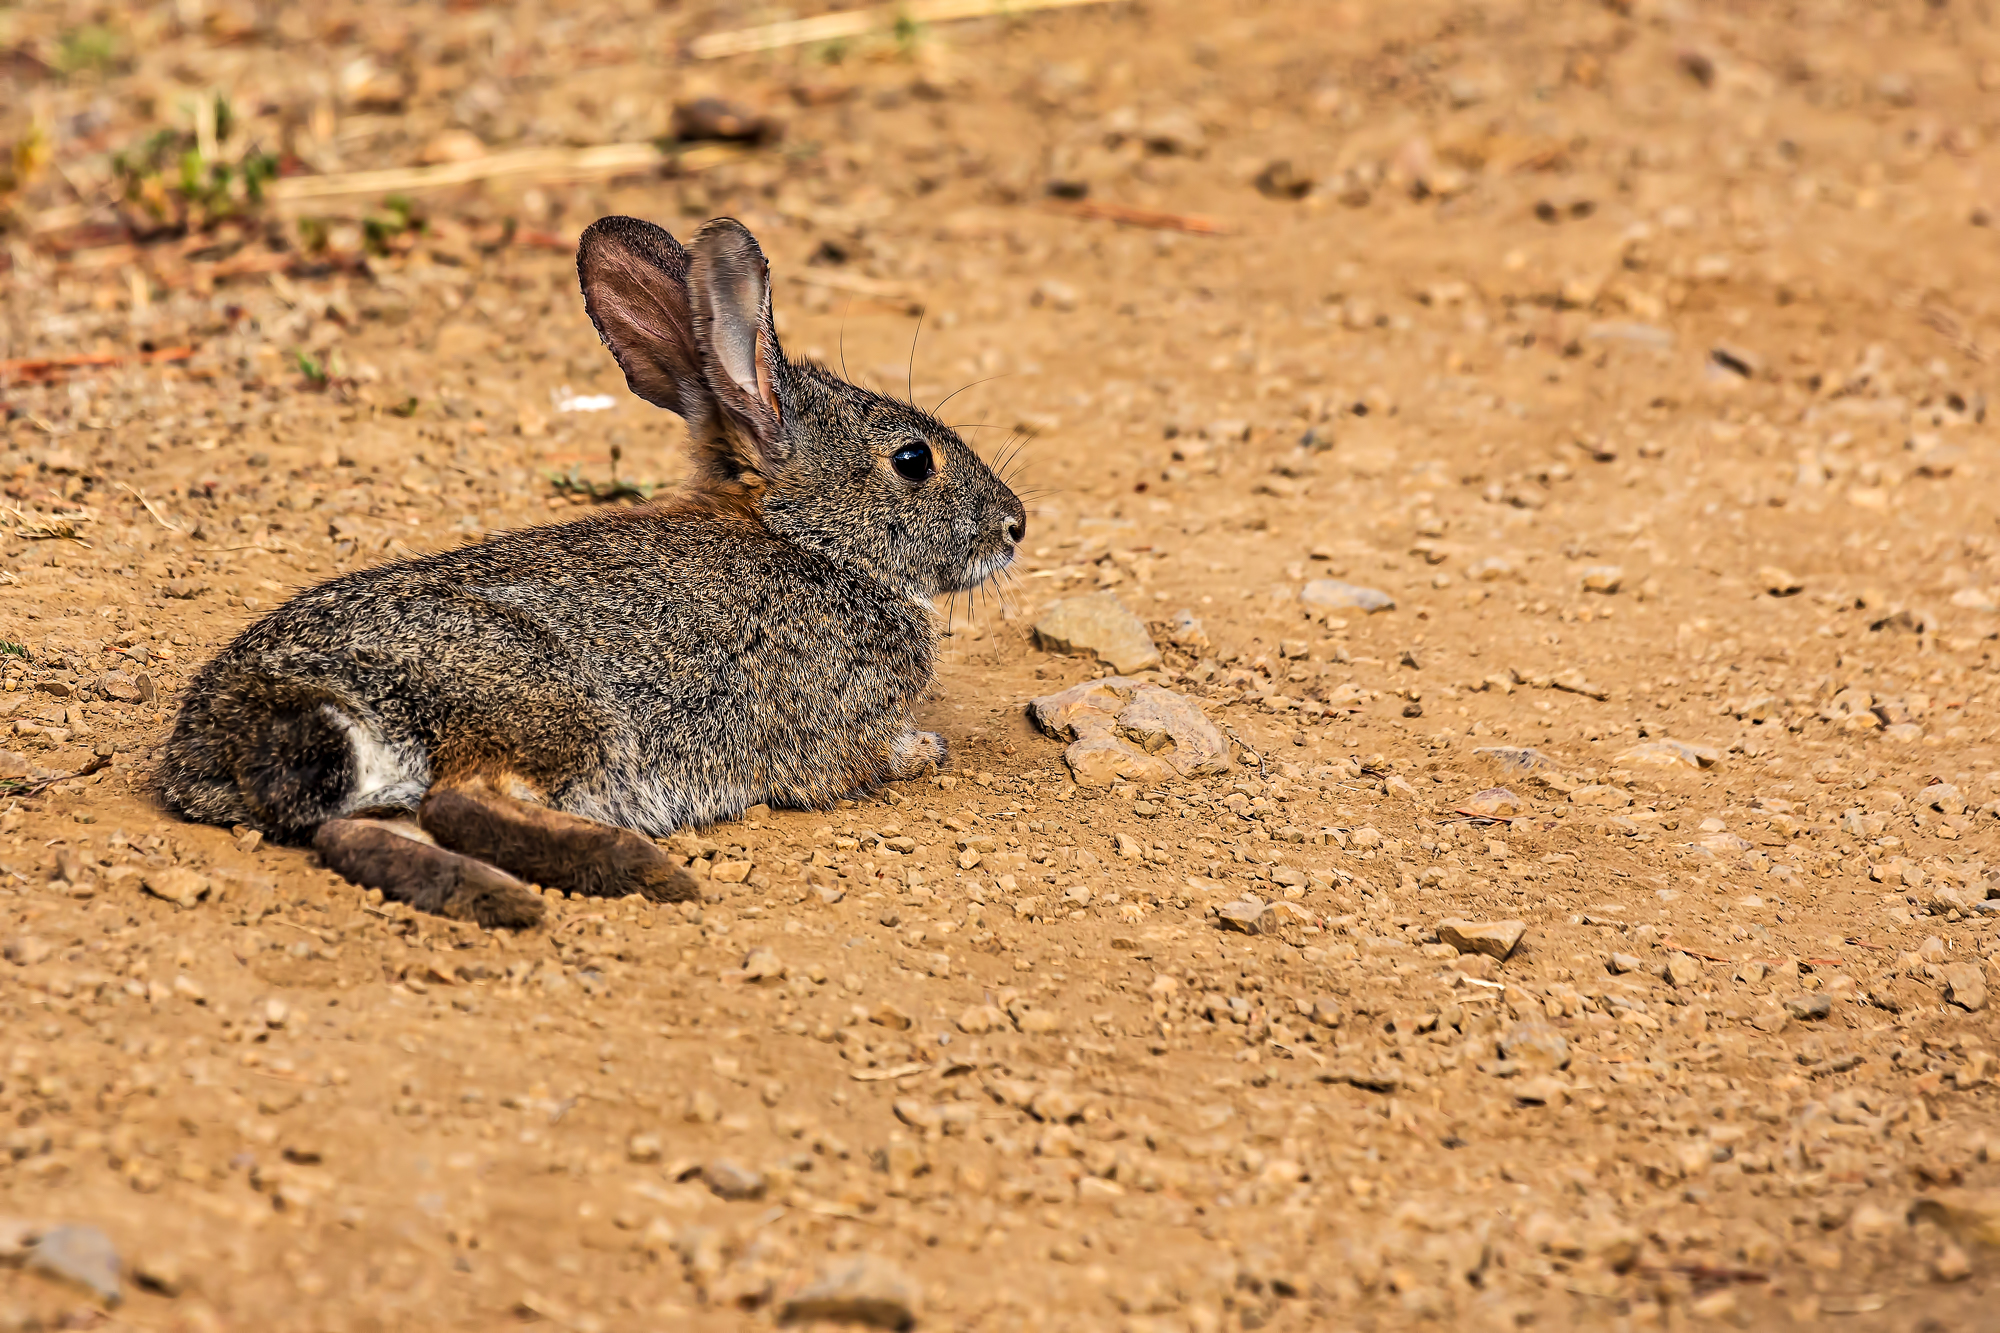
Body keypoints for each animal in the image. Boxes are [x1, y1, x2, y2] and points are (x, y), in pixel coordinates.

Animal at [154, 215, 1027, 930]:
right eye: (912, 461)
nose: (1015, 525)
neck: (810, 540)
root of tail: (241, 724)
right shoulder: (832, 729)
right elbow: (864, 759)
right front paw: (926, 750)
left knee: (363, 828)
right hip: (551, 705)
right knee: (462, 799)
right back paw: (640, 869)